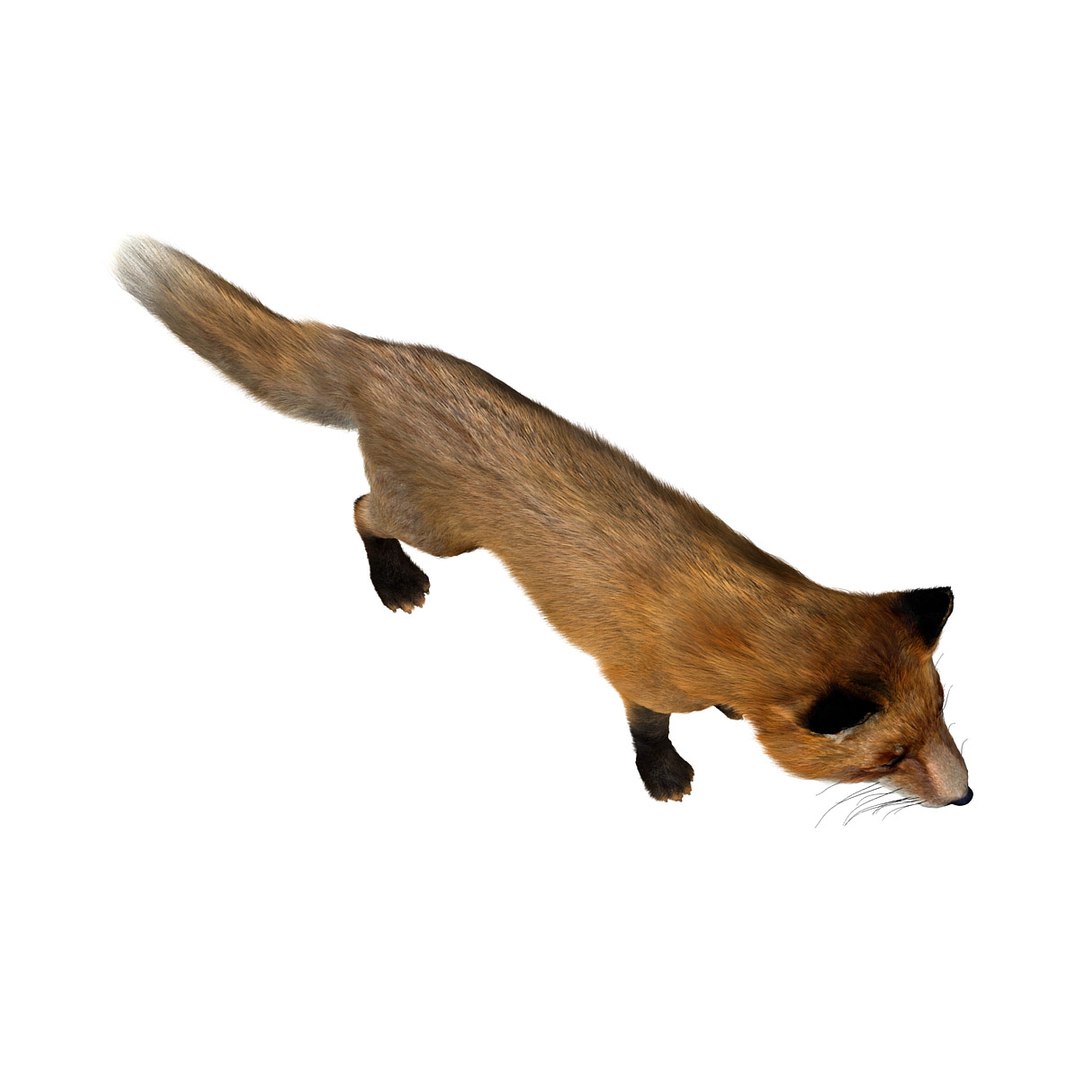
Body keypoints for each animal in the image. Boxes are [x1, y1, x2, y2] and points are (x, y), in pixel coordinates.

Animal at [115, 237, 972, 813]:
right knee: (358, 510)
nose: (966, 796)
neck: (738, 618)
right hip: (437, 529)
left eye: (942, 717)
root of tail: (382, 354)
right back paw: (394, 583)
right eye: (889, 756)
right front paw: (664, 777)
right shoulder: (638, 677)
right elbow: (647, 730)